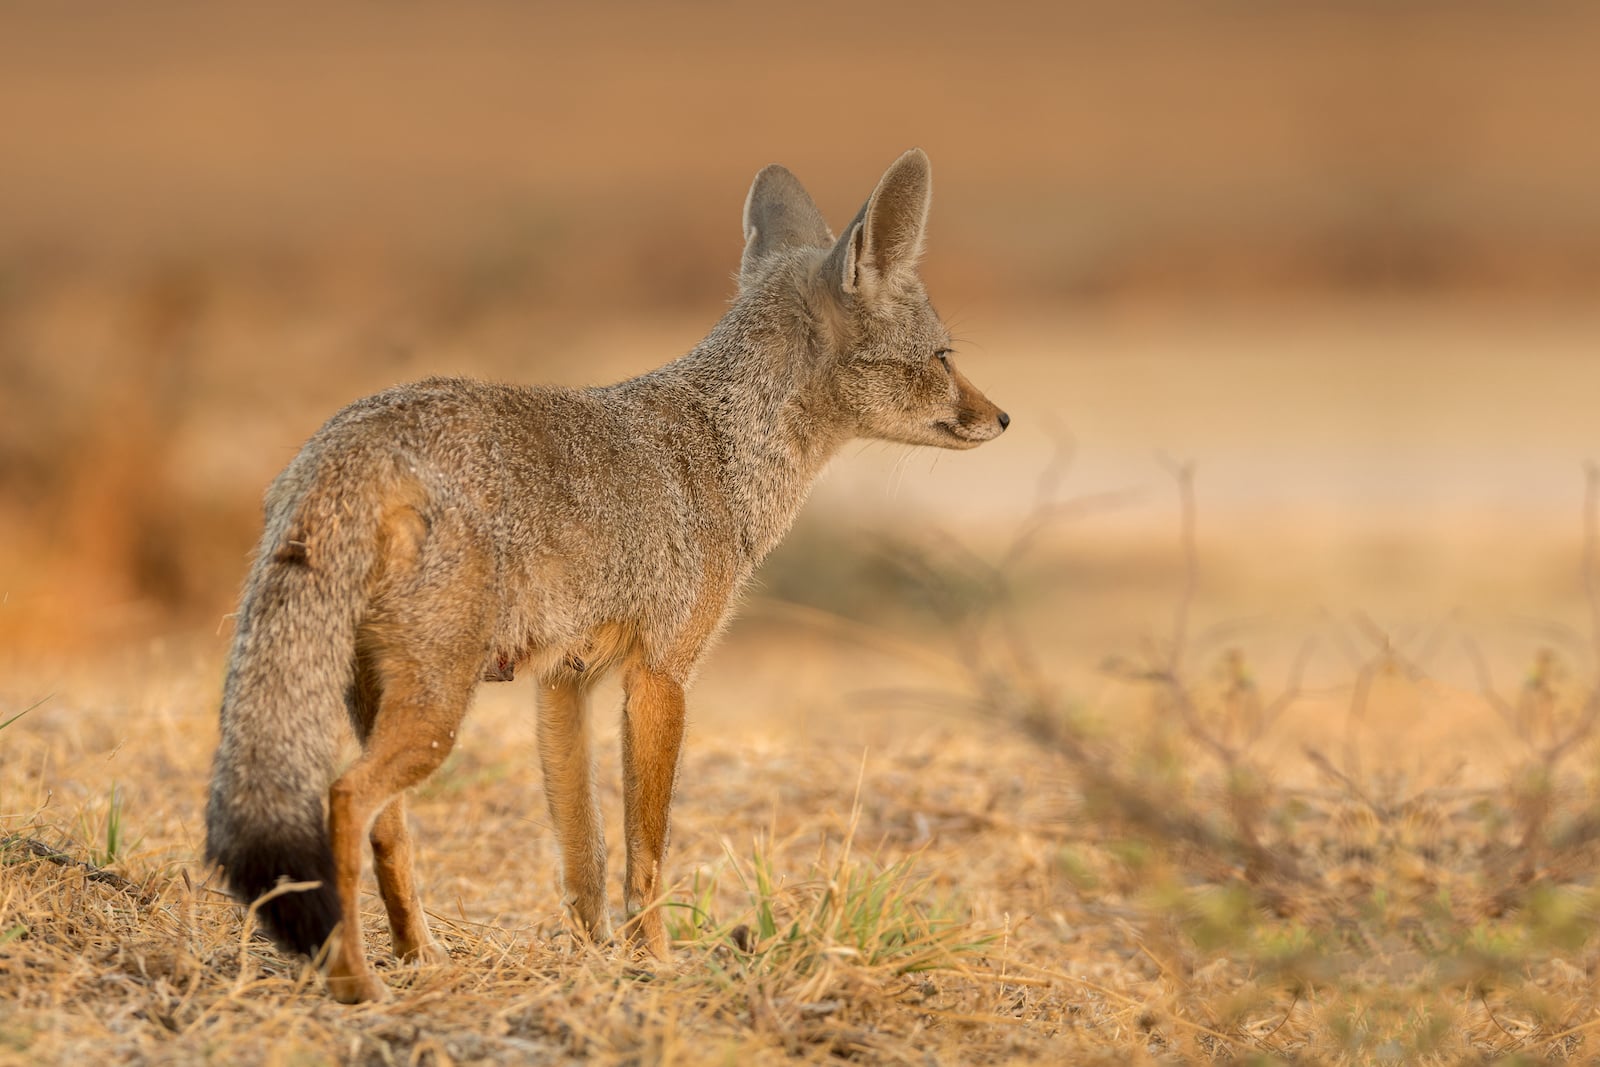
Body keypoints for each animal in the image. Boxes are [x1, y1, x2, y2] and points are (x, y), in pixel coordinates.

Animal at [204, 148, 1008, 1003]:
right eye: (946, 357)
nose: (1002, 418)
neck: (725, 447)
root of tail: (346, 442)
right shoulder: (662, 674)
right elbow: (646, 848)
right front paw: (656, 960)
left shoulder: (566, 681)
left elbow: (582, 849)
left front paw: (595, 957)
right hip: (436, 708)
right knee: (347, 798)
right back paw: (357, 980)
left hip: (377, 697)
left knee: (387, 824)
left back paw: (419, 954)